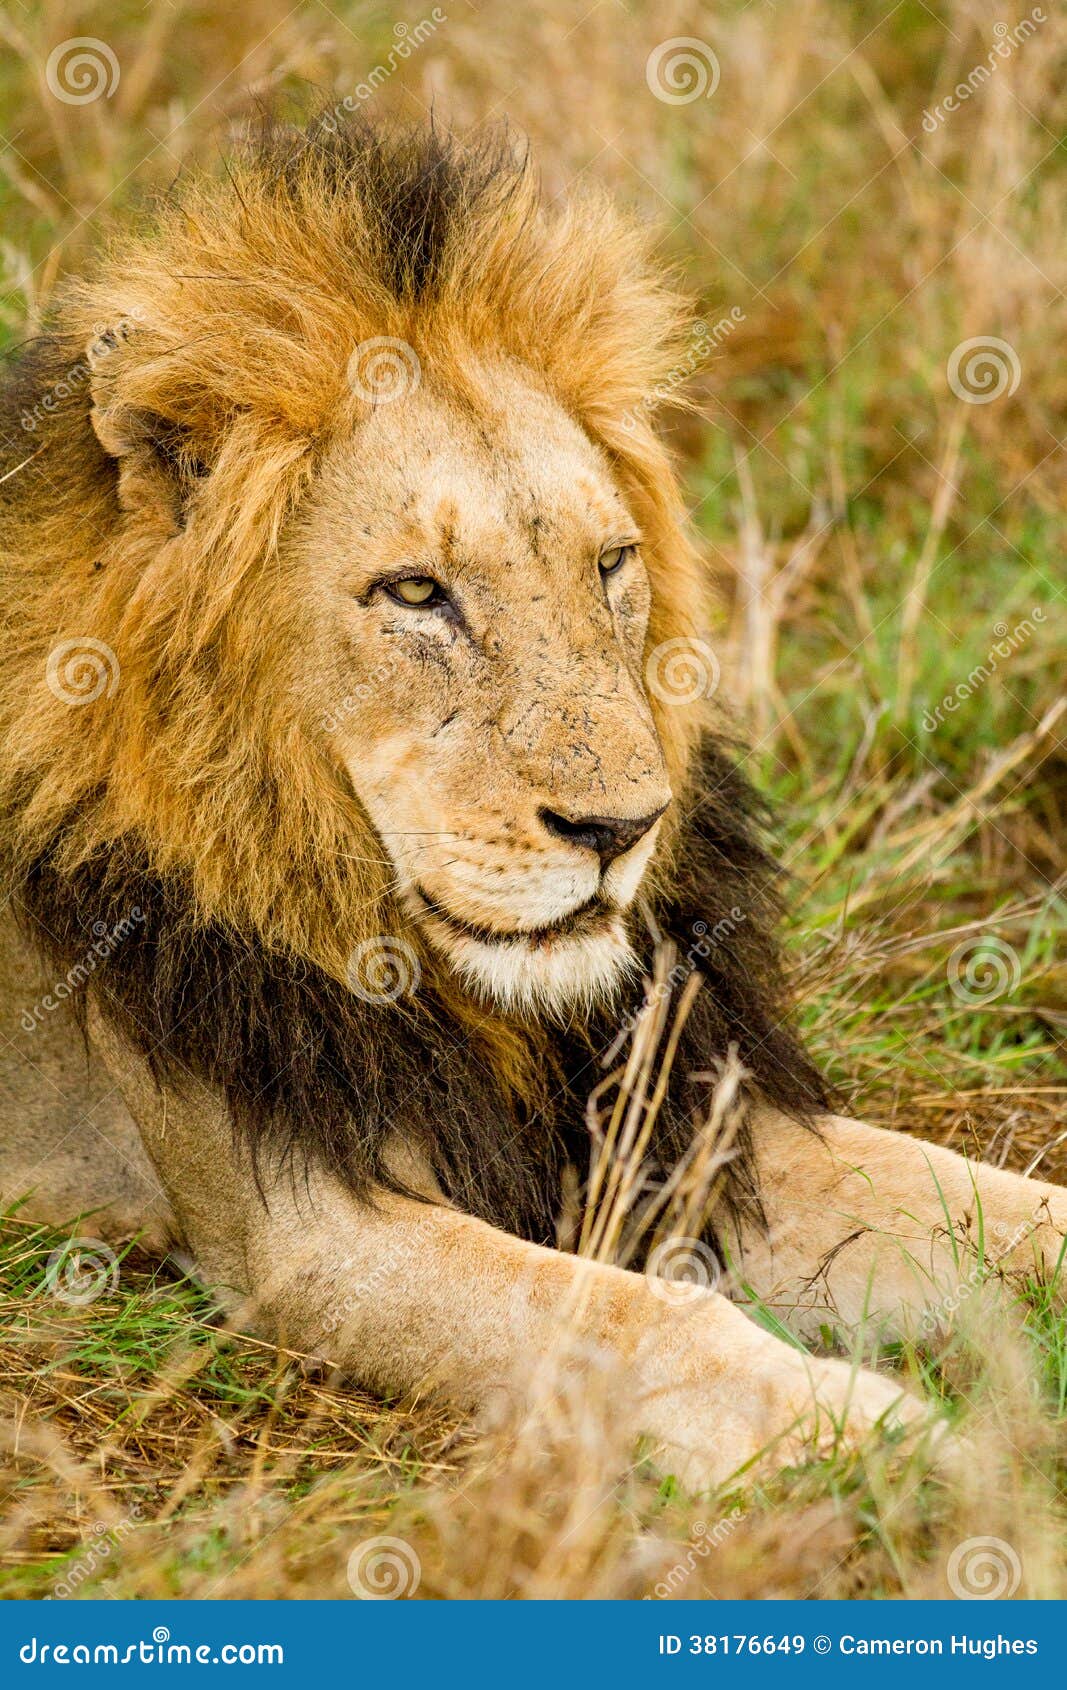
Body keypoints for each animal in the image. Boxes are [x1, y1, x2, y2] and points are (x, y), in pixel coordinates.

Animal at [1, 117, 1064, 1489]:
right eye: (415, 593)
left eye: (609, 564)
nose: (619, 831)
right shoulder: (301, 1236)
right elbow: (634, 1313)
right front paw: (875, 1443)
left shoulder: (677, 1114)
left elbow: (989, 1206)